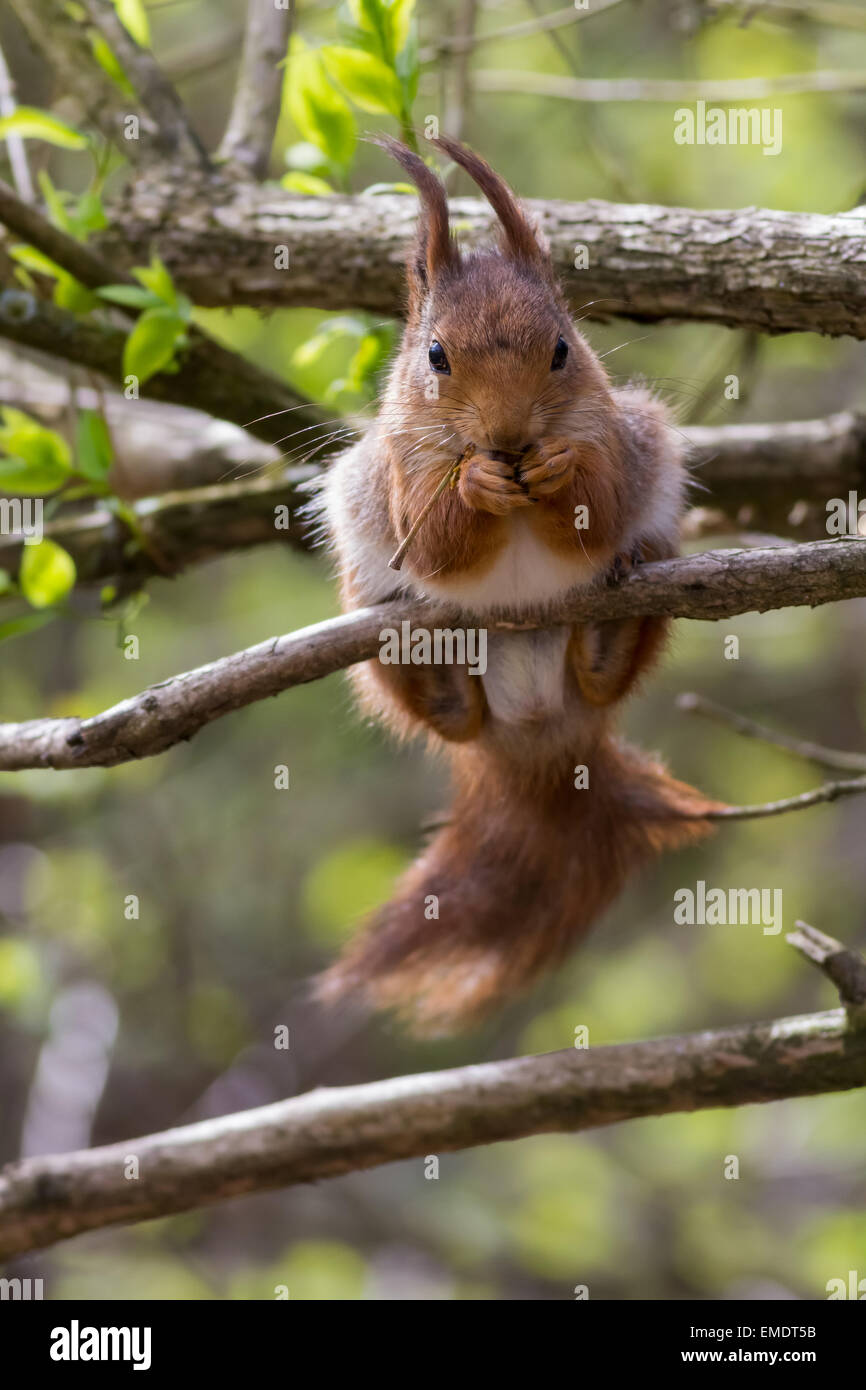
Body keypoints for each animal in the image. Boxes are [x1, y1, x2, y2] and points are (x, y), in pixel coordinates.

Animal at [315, 135, 723, 1035]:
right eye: (435, 356)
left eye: (564, 348)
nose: (507, 437)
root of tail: (537, 737)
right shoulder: (400, 473)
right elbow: (436, 547)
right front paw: (475, 488)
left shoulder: (617, 438)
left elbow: (596, 510)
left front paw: (560, 471)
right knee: (448, 714)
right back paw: (431, 674)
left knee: (604, 670)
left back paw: (613, 623)